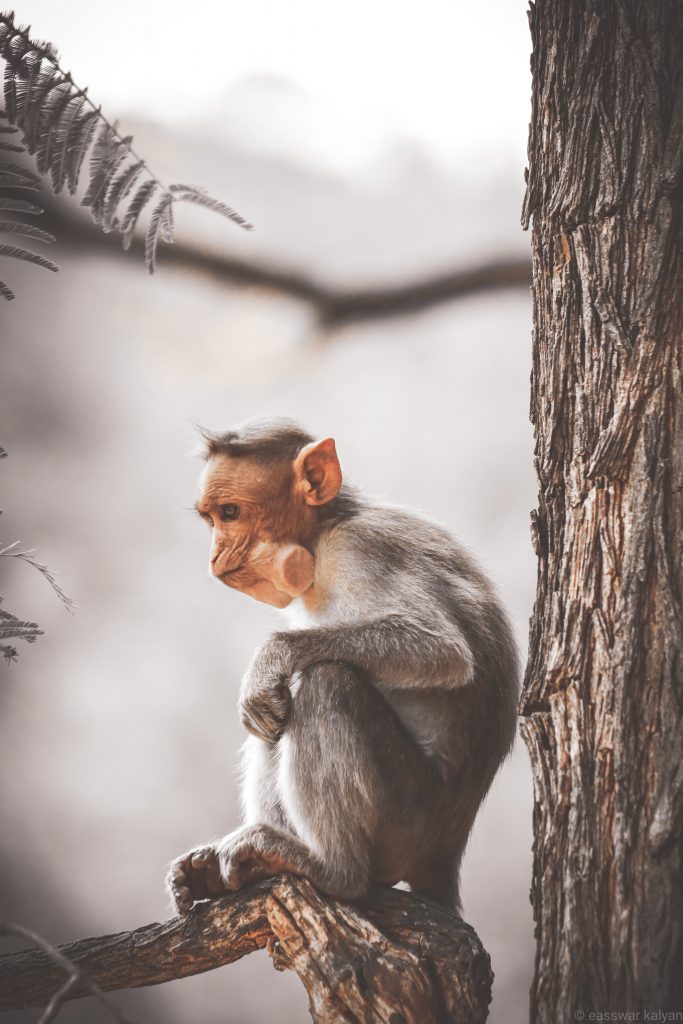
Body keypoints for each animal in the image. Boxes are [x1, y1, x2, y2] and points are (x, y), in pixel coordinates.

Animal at [167, 417, 519, 915]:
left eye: (231, 512)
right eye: (211, 518)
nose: (215, 555)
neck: (322, 532)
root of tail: (446, 855)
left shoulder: (360, 550)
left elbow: (443, 651)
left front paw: (272, 655)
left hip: (407, 822)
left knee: (325, 681)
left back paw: (334, 870)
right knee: (275, 715)